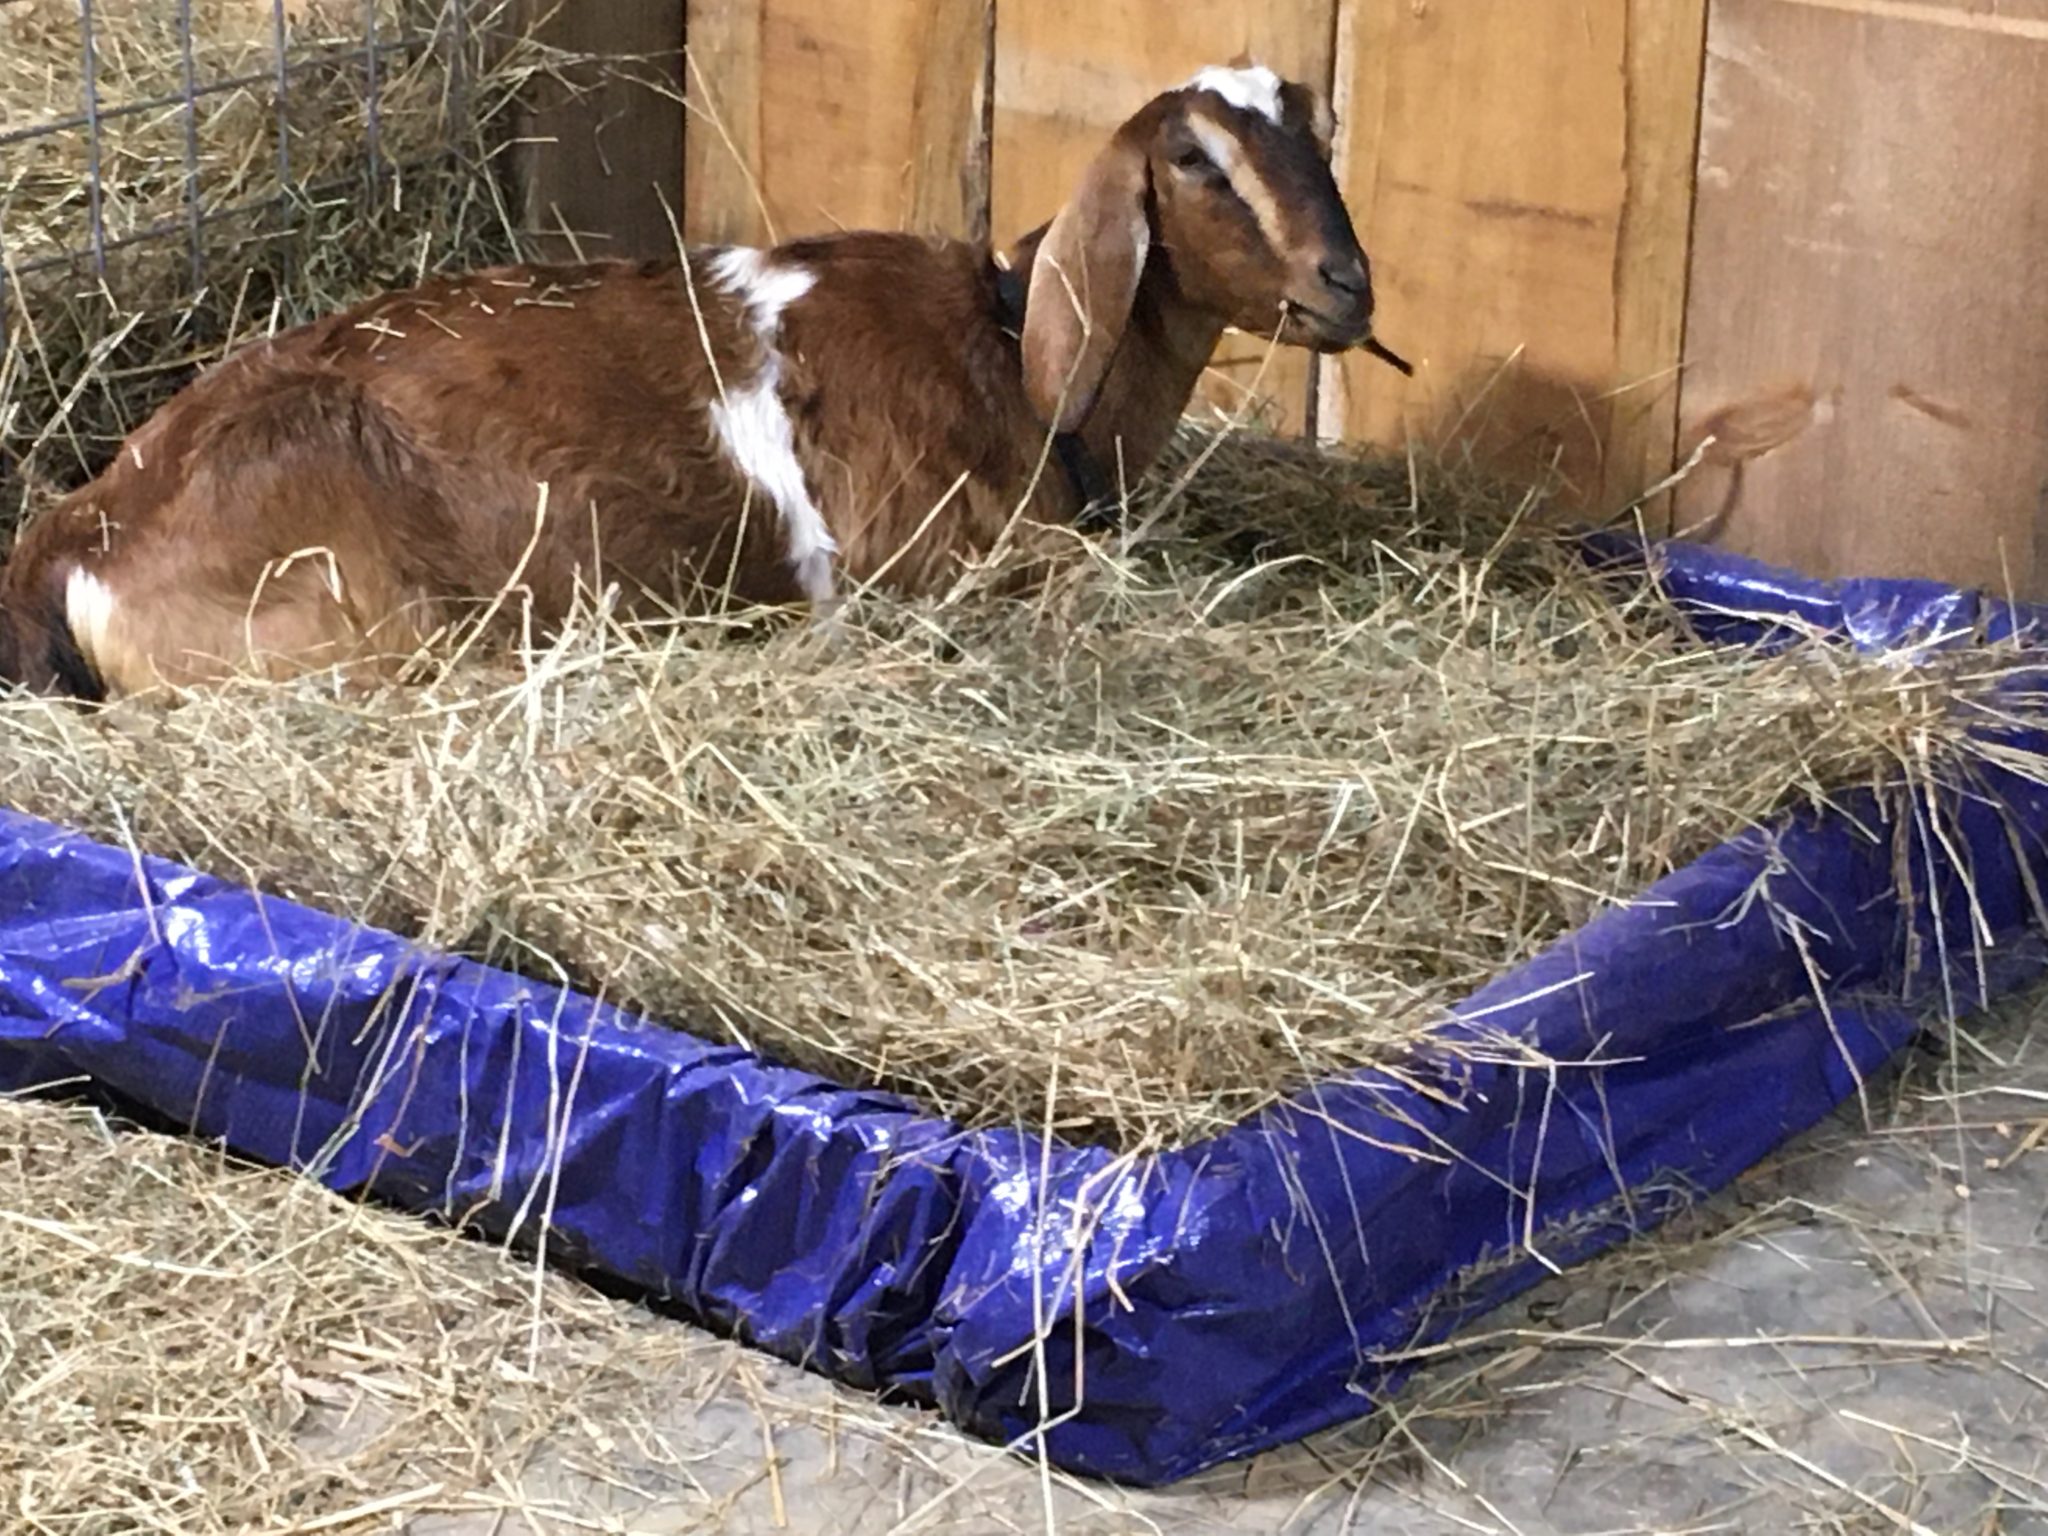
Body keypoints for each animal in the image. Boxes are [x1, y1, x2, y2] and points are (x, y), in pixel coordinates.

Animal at [0, 63, 1400, 700]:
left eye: (1321, 127)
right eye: (1195, 159)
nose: (1346, 282)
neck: (1005, 353)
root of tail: (82, 526)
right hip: (373, 640)